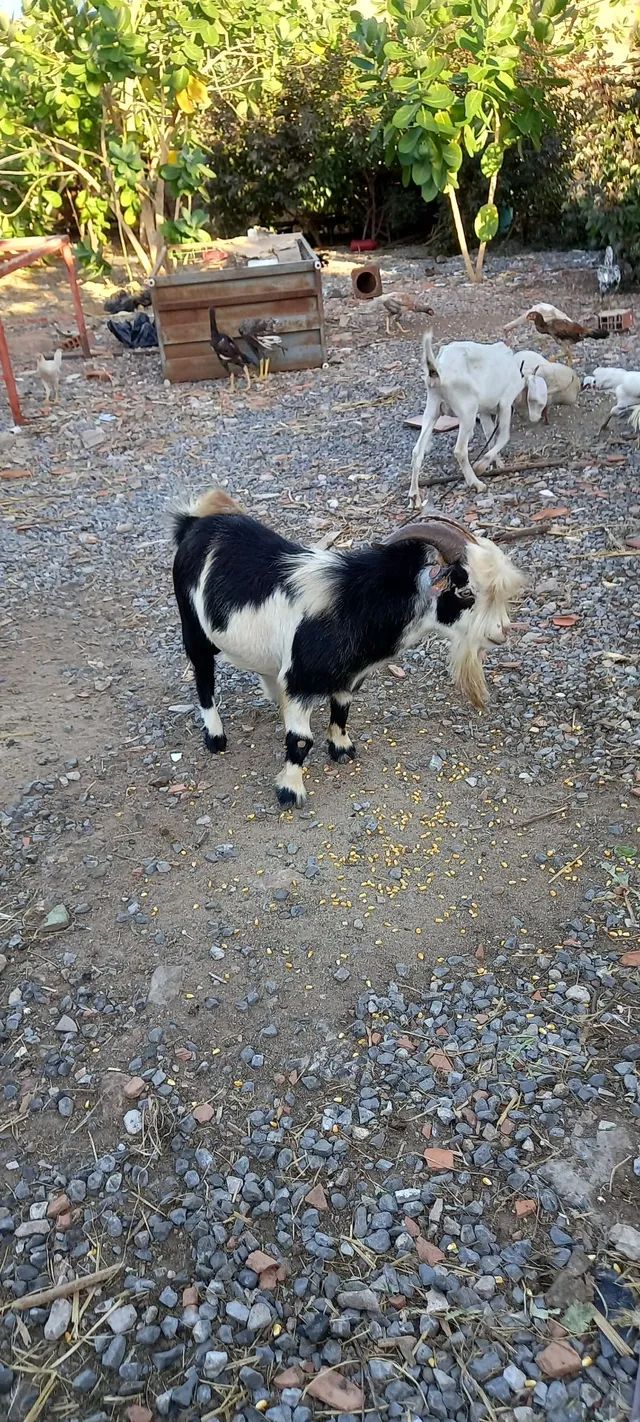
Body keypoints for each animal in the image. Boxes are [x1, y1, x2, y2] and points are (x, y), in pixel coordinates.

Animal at [172, 492, 524, 808]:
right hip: (193, 628)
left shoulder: (349, 675)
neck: (356, 603)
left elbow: (341, 710)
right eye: (465, 592)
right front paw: (290, 791)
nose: (502, 631)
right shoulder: (302, 681)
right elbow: (300, 740)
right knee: (203, 678)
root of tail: (194, 525)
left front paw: (342, 749)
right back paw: (215, 737)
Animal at [409, 332, 539, 507]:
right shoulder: (505, 403)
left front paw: (497, 463)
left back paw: (414, 496)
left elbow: (491, 436)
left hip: (432, 409)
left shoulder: (483, 412)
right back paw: (476, 483)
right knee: (460, 451)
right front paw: (482, 465)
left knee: (417, 451)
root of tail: (439, 370)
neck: (518, 372)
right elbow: (504, 437)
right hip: (467, 412)